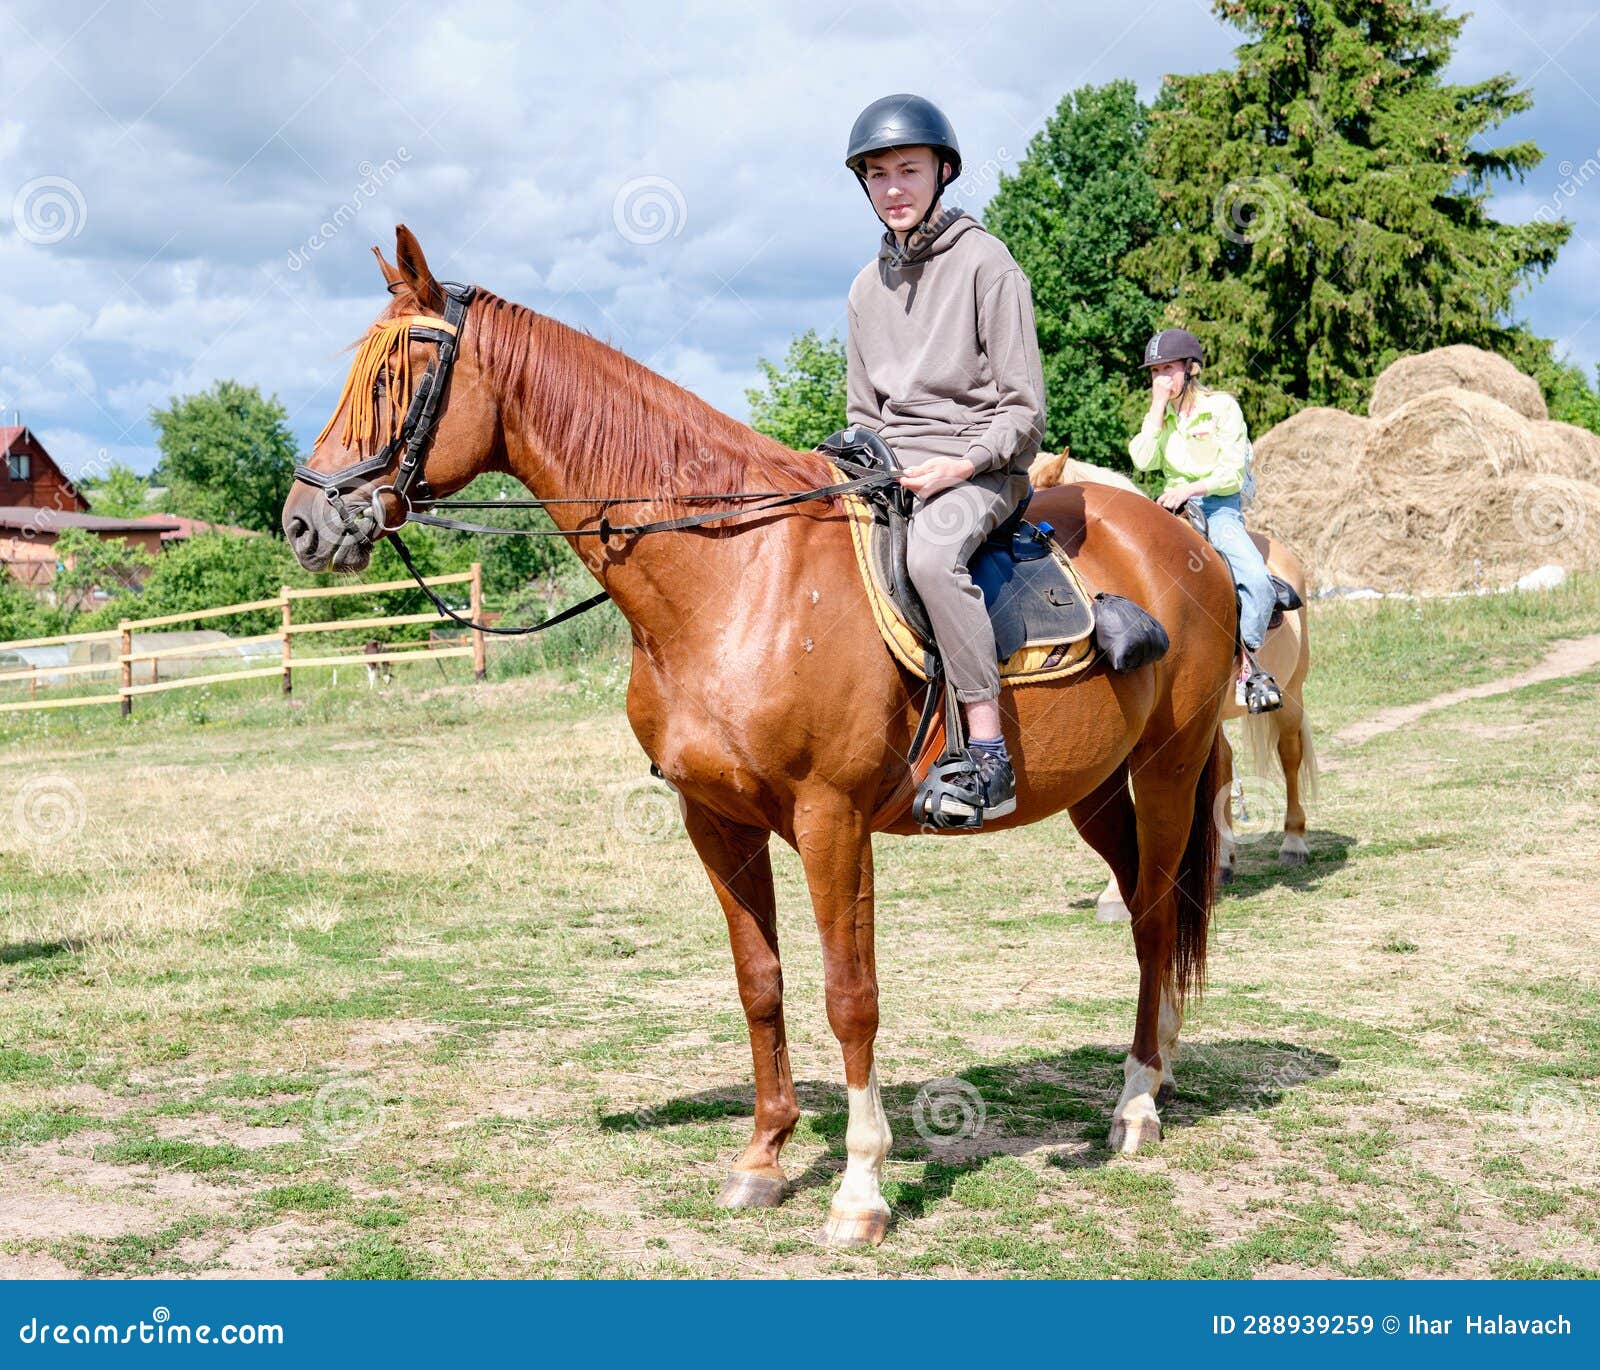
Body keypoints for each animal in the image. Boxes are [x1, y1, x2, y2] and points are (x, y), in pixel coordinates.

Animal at [282, 226, 1241, 1247]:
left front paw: (860, 1187)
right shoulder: (717, 820)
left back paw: (1135, 1104)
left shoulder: (833, 822)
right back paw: (1159, 1065)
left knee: (1155, 915)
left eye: (399, 375)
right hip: (1095, 791)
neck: (738, 573)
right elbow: (761, 982)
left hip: (1170, 769)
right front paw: (763, 1157)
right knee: (1146, 910)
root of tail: (1187, 544)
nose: (303, 521)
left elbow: (849, 996)